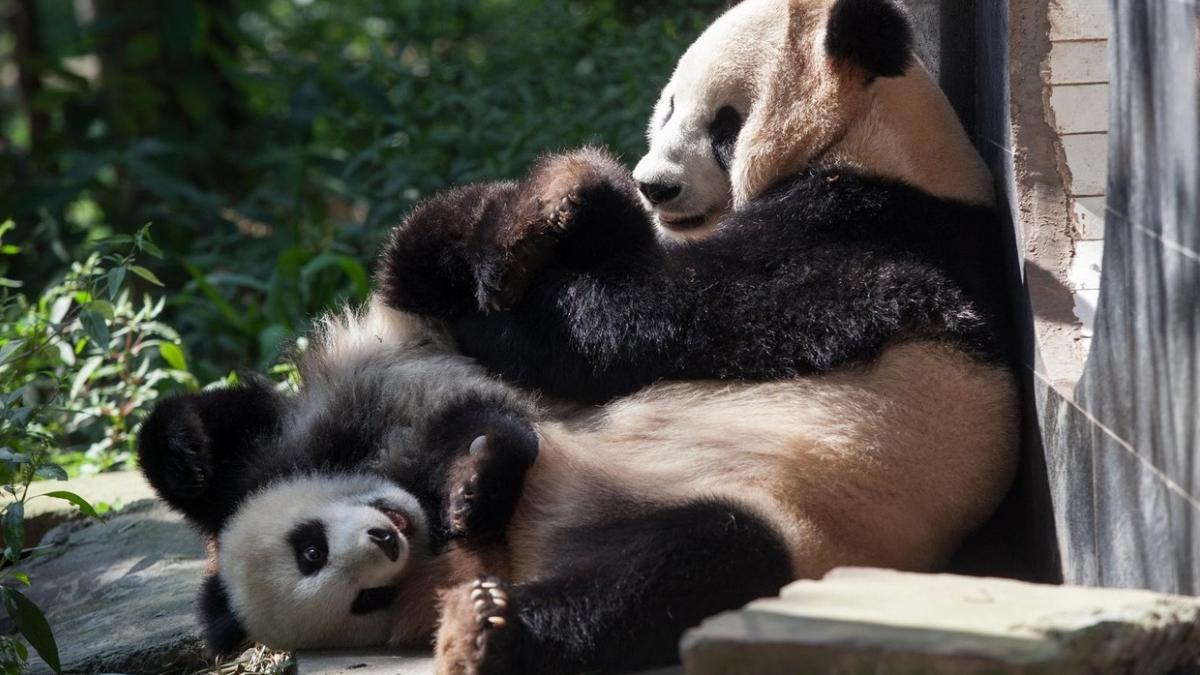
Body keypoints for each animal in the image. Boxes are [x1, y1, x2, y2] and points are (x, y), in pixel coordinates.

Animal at [138, 1, 1020, 673]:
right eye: (667, 105)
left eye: (725, 124)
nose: (656, 183)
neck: (883, 139)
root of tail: (527, 542)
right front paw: (540, 216)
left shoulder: (857, 230)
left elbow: (639, 318)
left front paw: (514, 278)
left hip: (800, 518)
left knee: (681, 568)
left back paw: (485, 624)